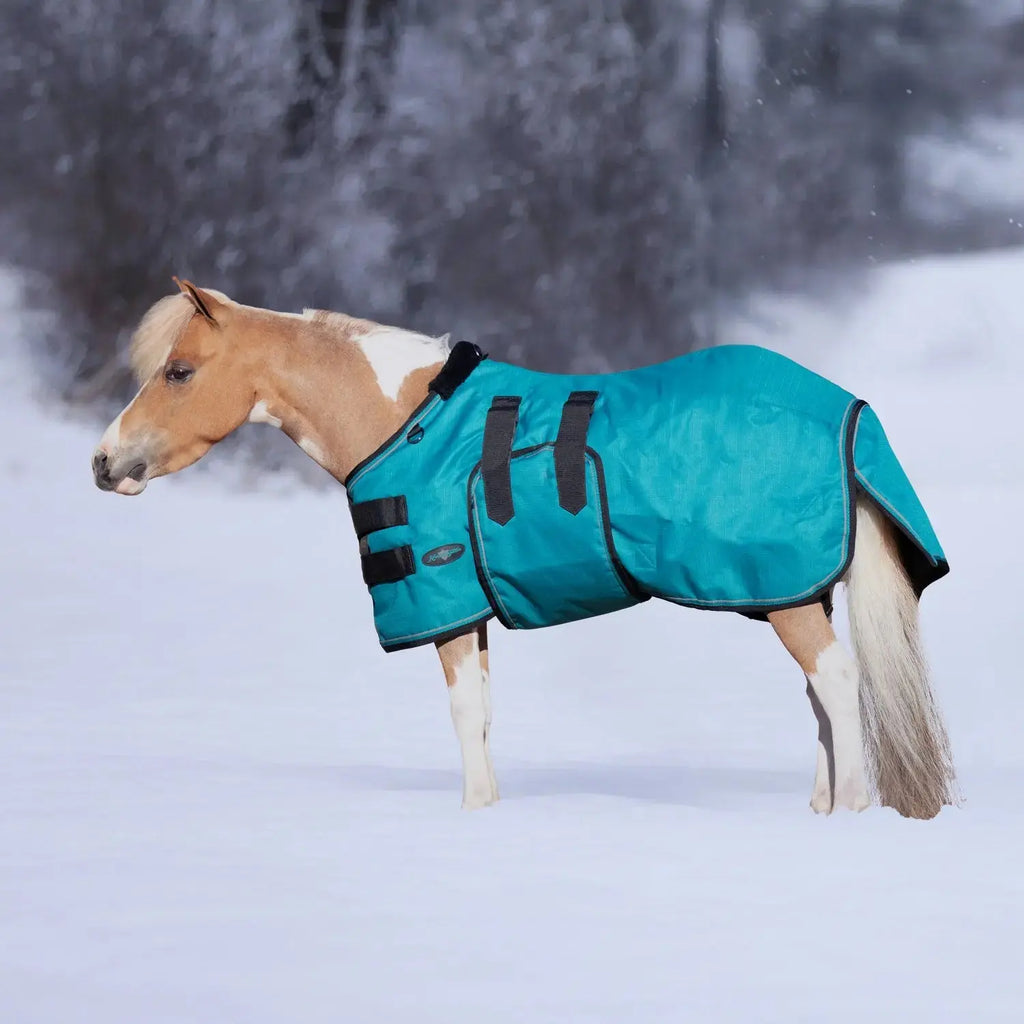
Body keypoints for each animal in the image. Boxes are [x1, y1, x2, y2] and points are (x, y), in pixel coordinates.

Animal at [92, 279, 957, 818]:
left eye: (179, 371)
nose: (104, 462)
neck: (406, 421)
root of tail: (844, 407)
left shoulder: (442, 602)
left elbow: (463, 710)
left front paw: (473, 811)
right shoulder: (469, 613)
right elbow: (482, 712)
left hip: (781, 593)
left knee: (837, 681)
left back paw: (851, 809)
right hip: (790, 589)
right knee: (821, 694)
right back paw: (822, 804)